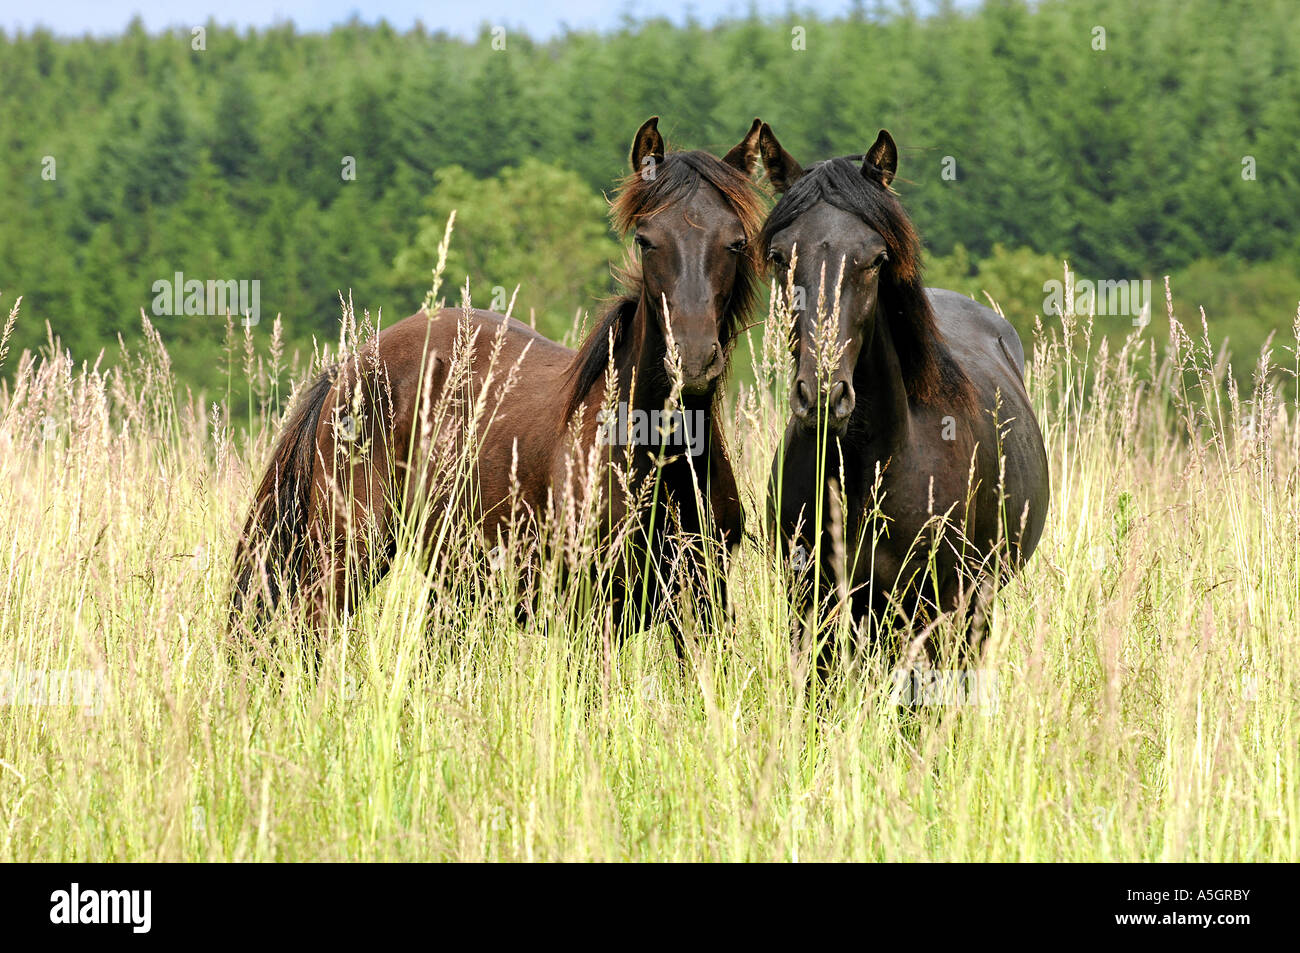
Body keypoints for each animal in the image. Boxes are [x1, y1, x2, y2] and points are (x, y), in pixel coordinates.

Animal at [230, 117, 767, 655]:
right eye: (646, 240)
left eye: (737, 242)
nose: (692, 361)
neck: (656, 455)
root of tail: (349, 368)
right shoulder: (591, 613)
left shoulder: (704, 603)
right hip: (345, 557)